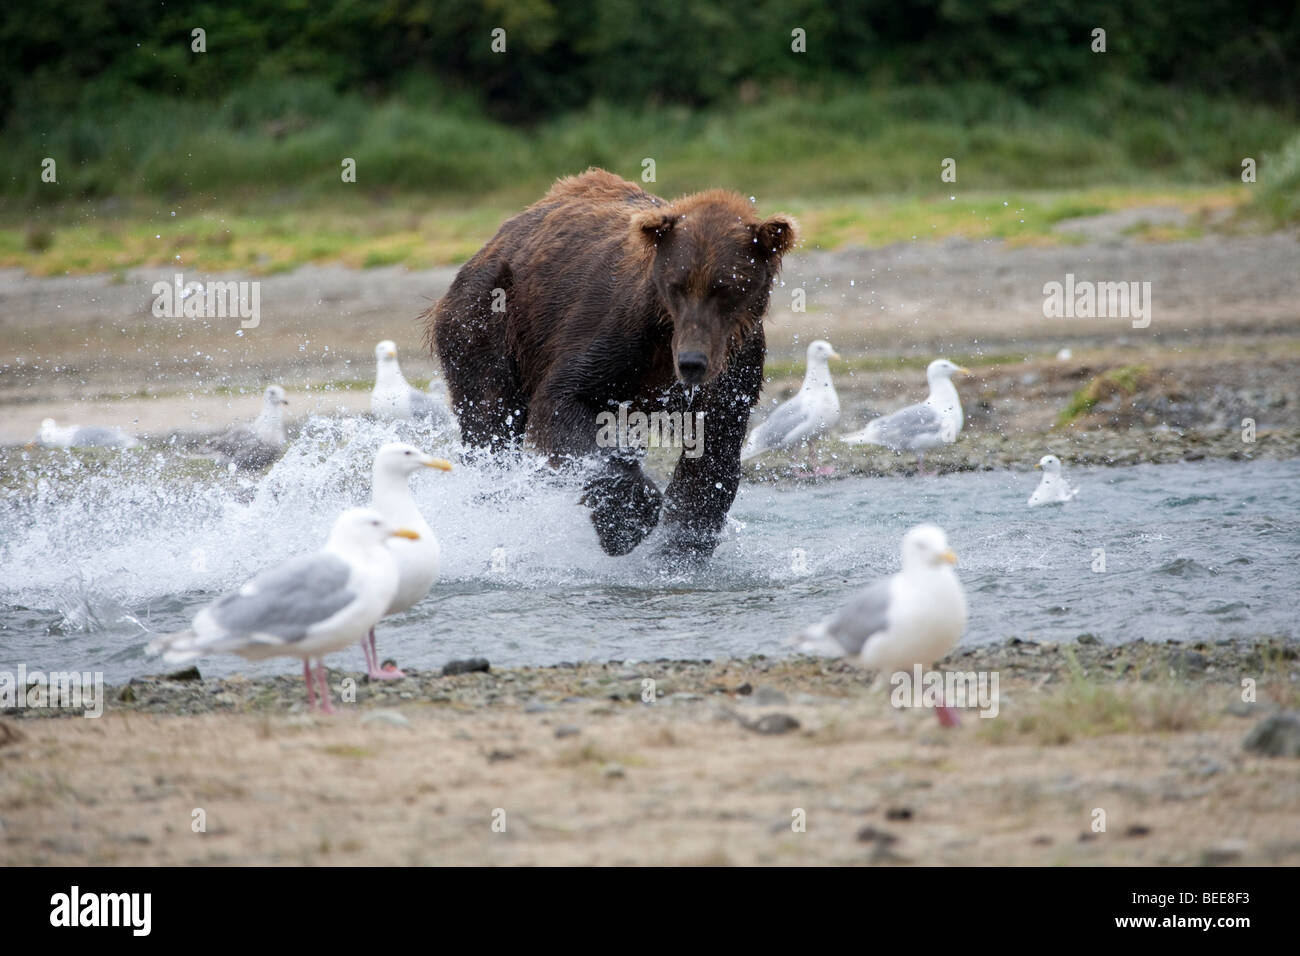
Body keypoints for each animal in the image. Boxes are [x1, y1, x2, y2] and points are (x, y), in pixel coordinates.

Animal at [423, 168, 796, 562]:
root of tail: (495, 239)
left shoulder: (733, 366)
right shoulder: (616, 331)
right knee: (490, 418)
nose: (692, 363)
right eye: (677, 285)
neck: (665, 337)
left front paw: (679, 547)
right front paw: (626, 522)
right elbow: (564, 402)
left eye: (726, 288)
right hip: (488, 318)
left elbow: (712, 458)